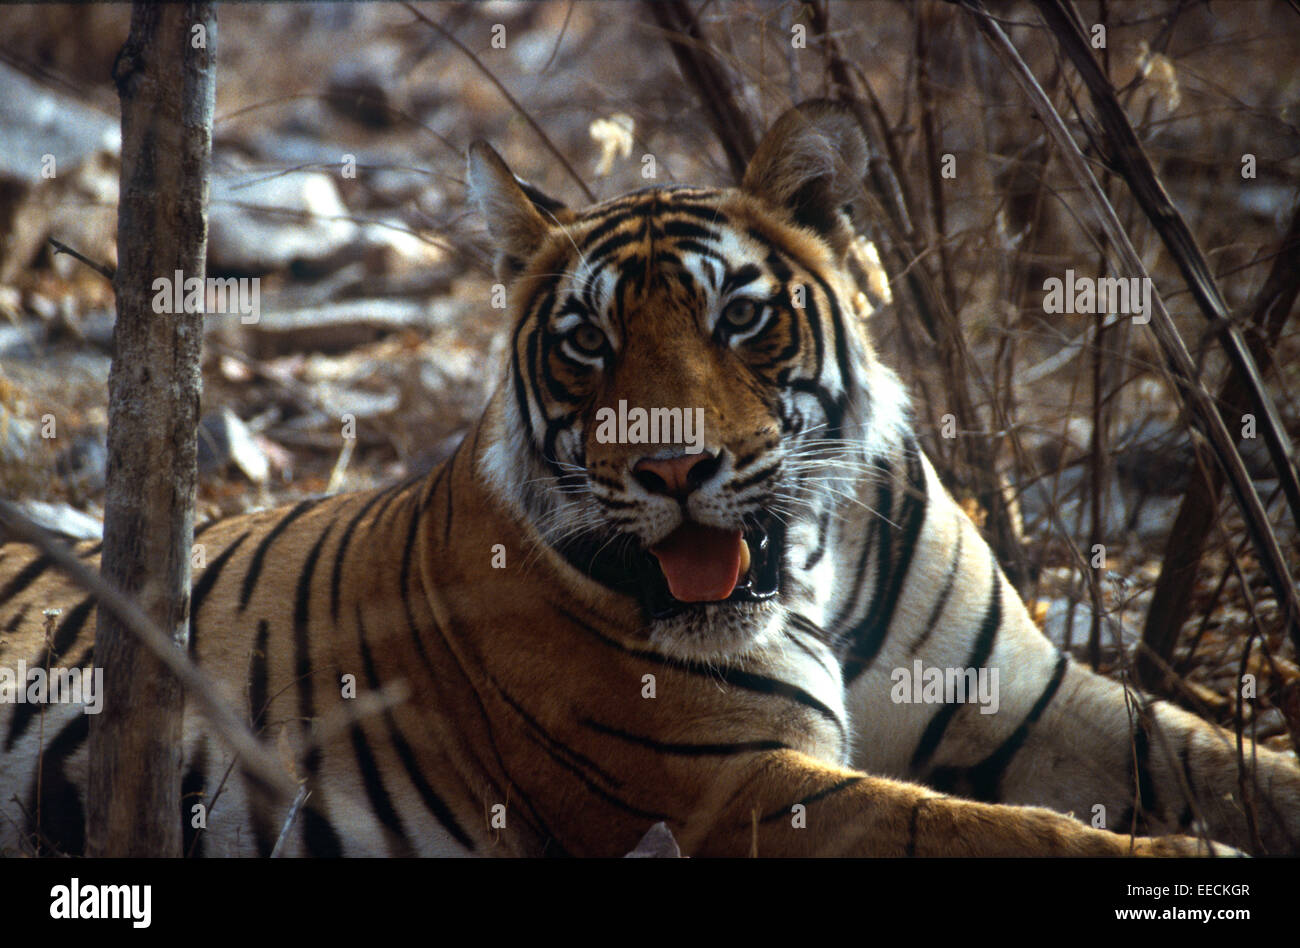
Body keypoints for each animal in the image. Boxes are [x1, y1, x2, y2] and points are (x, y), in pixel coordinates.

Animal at [2, 101, 1298, 857]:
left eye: (741, 317)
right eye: (587, 341)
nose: (673, 468)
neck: (811, 573)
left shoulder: (1027, 696)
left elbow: (1216, 759)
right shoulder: (724, 789)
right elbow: (993, 835)